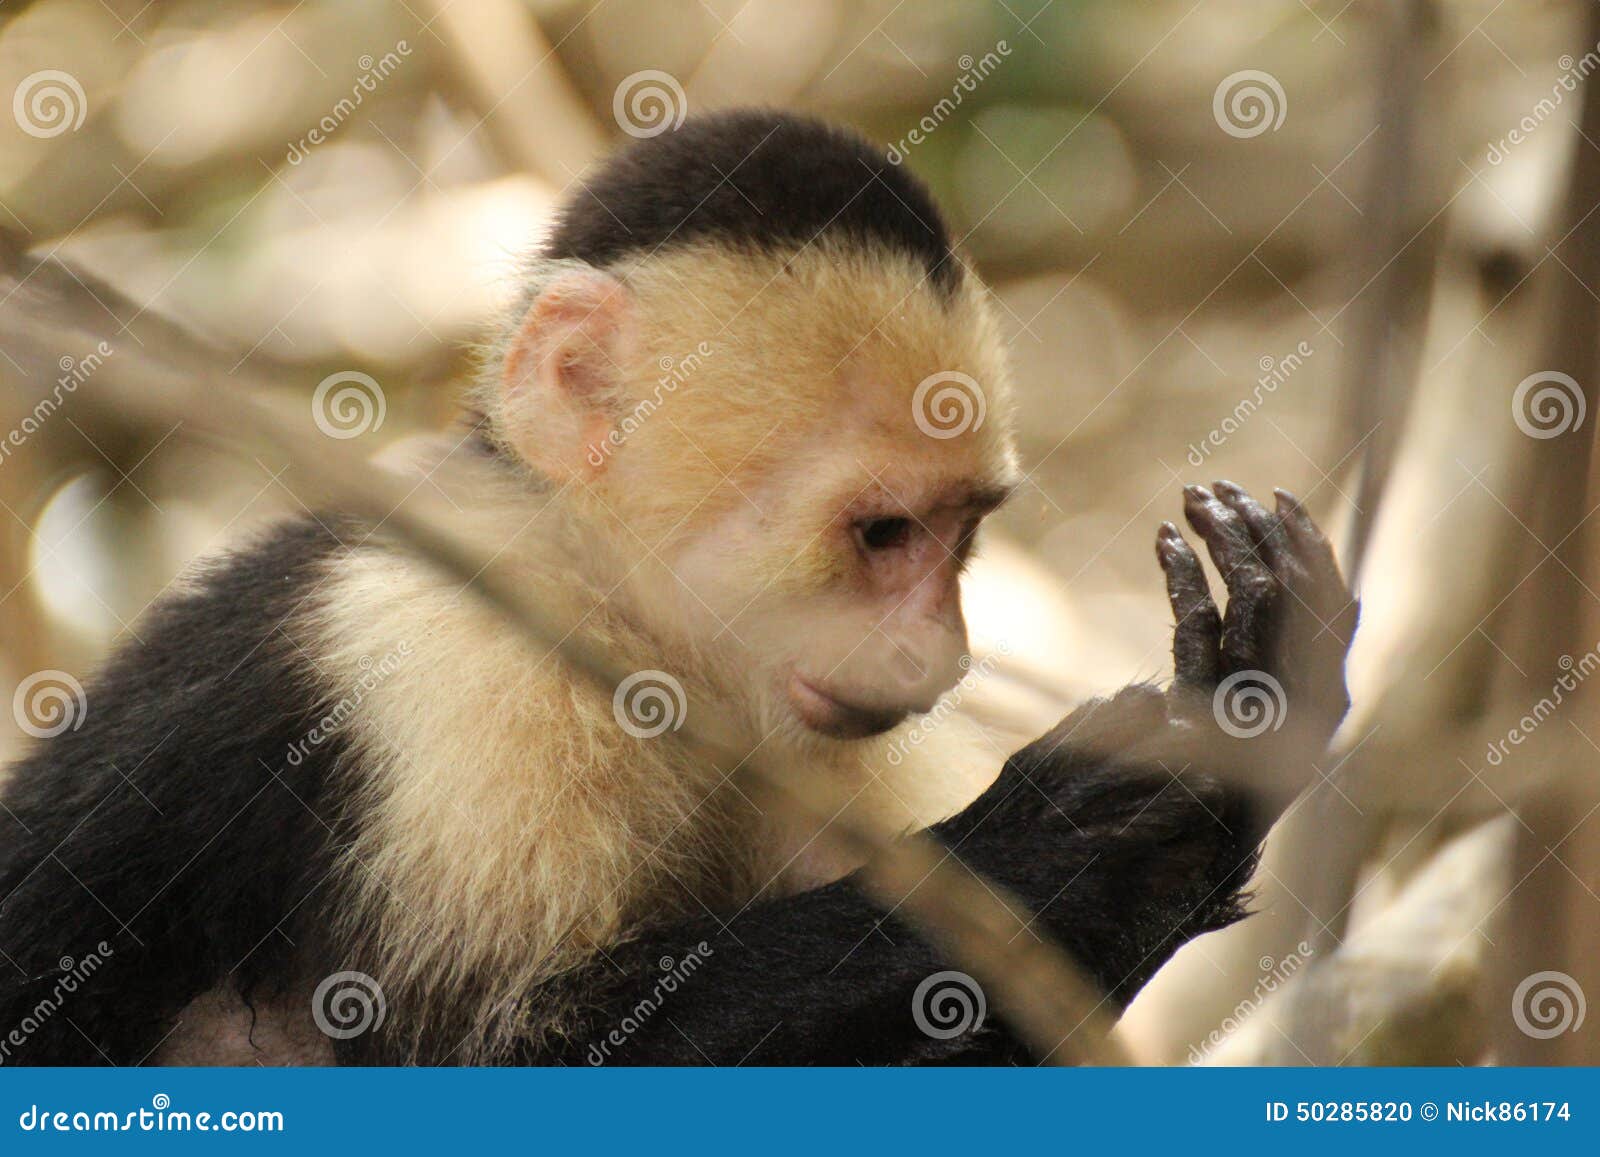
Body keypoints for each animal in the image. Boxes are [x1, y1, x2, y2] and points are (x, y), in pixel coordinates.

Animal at [0, 110, 1356, 1066]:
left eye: (959, 533)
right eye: (880, 533)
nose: (941, 657)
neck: (620, 630)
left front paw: (1219, 775)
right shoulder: (453, 669)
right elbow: (479, 1057)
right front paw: (1063, 836)